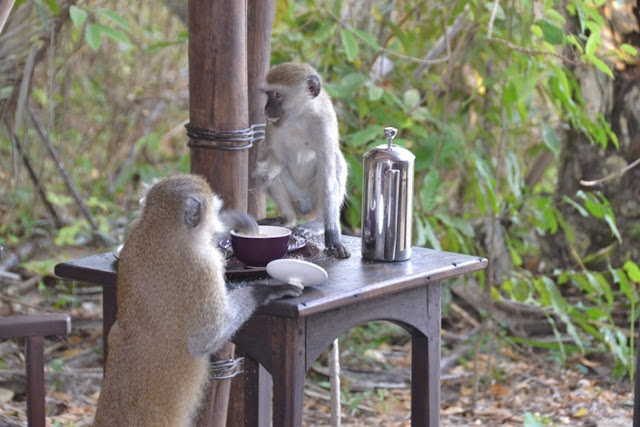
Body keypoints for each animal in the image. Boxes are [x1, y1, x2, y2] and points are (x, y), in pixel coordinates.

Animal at [93, 174, 303, 427]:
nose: (218, 218)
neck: (158, 228)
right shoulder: (203, 265)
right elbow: (205, 339)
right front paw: (264, 291)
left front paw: (233, 221)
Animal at [254, 62, 351, 258]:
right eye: (268, 94)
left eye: (278, 95)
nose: (266, 109)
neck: (299, 117)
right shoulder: (271, 125)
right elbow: (274, 163)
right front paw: (264, 173)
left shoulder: (324, 120)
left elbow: (328, 173)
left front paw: (333, 237)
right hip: (295, 200)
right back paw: (287, 219)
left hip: (313, 199)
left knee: (336, 162)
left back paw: (318, 223)